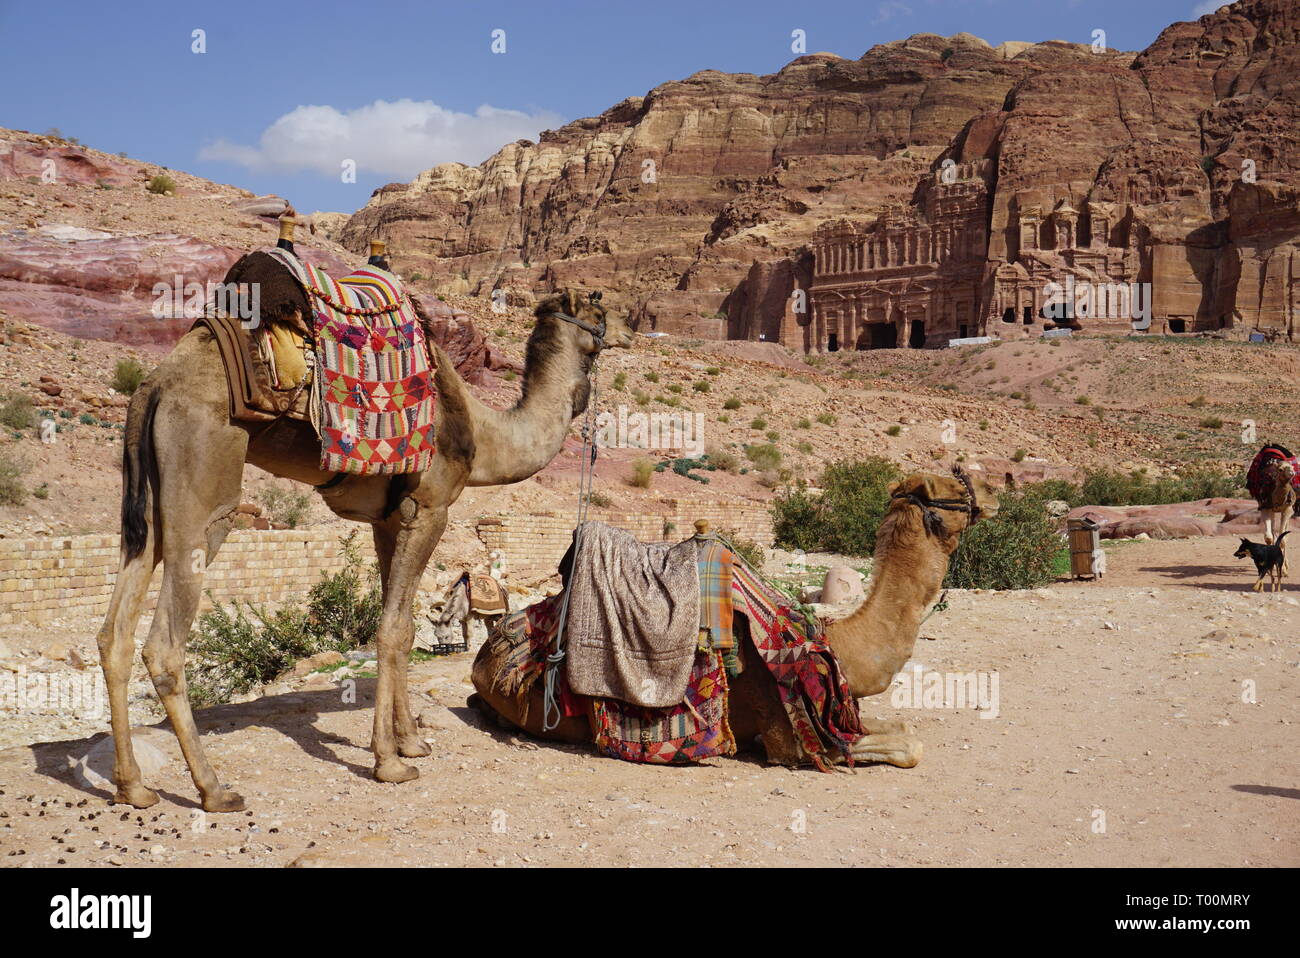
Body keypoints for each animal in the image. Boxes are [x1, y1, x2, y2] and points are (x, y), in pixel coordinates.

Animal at [94, 254, 633, 812]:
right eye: (602, 310)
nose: (632, 328)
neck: (483, 435)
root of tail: (154, 385)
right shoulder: (430, 508)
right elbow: (393, 629)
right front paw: (390, 762)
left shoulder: (388, 520)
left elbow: (404, 626)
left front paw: (412, 741)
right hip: (204, 481)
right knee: (164, 641)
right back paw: (214, 789)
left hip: (150, 507)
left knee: (115, 631)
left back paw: (133, 787)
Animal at [470, 468, 999, 768]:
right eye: (956, 486)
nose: (997, 490)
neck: (837, 646)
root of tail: (482, 659)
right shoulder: (790, 738)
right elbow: (907, 747)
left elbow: (903, 730)